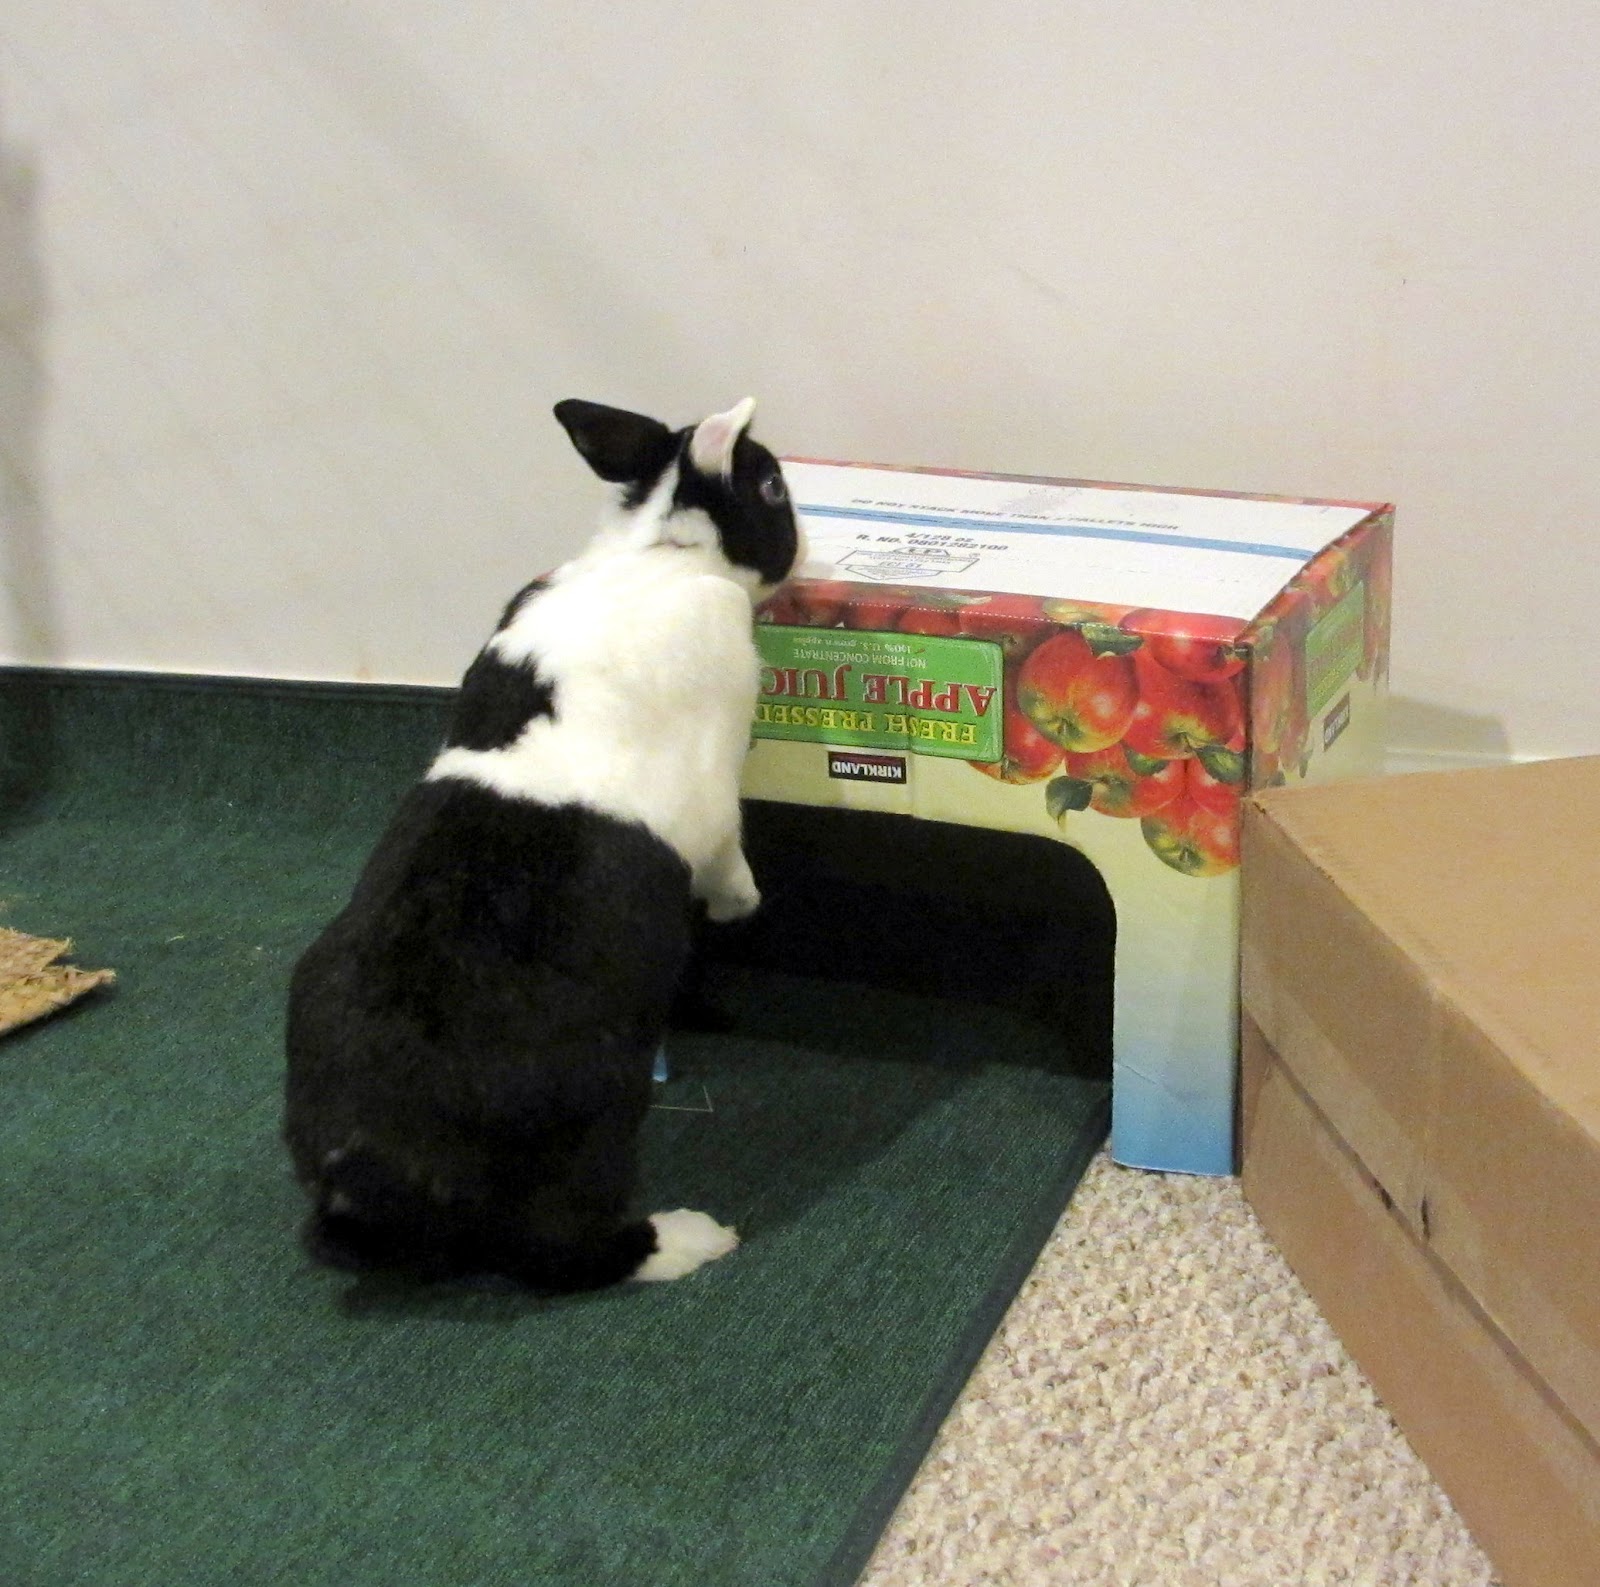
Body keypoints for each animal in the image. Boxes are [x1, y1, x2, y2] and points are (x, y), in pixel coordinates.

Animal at [283, 397, 803, 1291]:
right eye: (769, 484)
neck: (660, 556)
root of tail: (369, 1158)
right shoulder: (714, 785)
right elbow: (725, 841)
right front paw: (743, 902)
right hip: (593, 1117)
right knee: (562, 1248)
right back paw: (692, 1239)